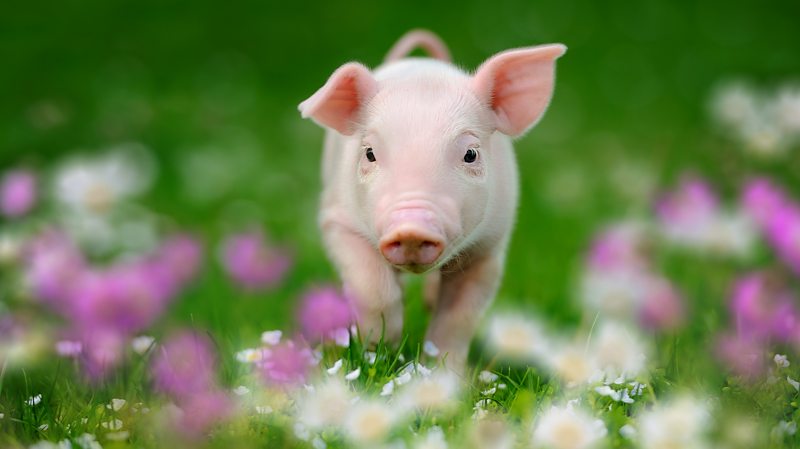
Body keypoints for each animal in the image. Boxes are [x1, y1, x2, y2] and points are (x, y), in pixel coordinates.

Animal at [299, 29, 566, 372]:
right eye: (370, 153)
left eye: (470, 154)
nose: (411, 229)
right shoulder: (337, 220)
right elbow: (372, 288)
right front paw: (378, 349)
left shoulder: (489, 245)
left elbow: (459, 316)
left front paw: (444, 373)